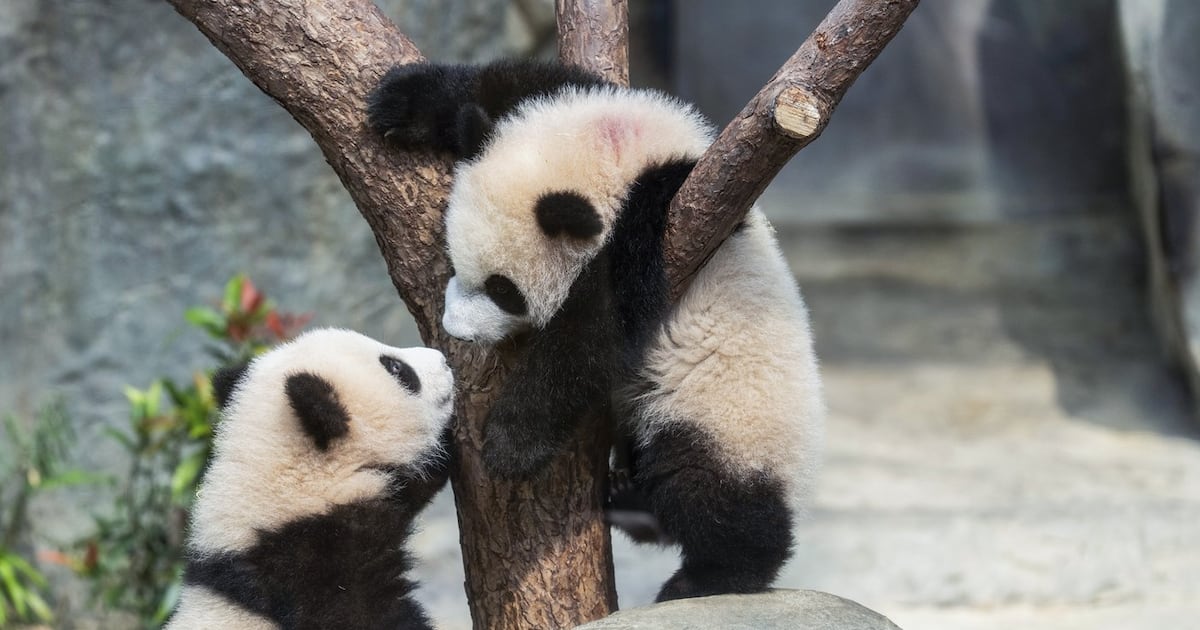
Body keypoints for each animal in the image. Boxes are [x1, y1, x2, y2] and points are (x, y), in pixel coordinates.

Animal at [368, 60, 823, 602]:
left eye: (504, 291)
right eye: (457, 262)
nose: (455, 329)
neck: (623, 153)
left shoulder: (667, 215)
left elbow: (595, 329)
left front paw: (510, 442)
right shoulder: (597, 103)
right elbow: (512, 82)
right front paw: (403, 101)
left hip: (730, 419)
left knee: (712, 495)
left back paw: (705, 577)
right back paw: (630, 501)